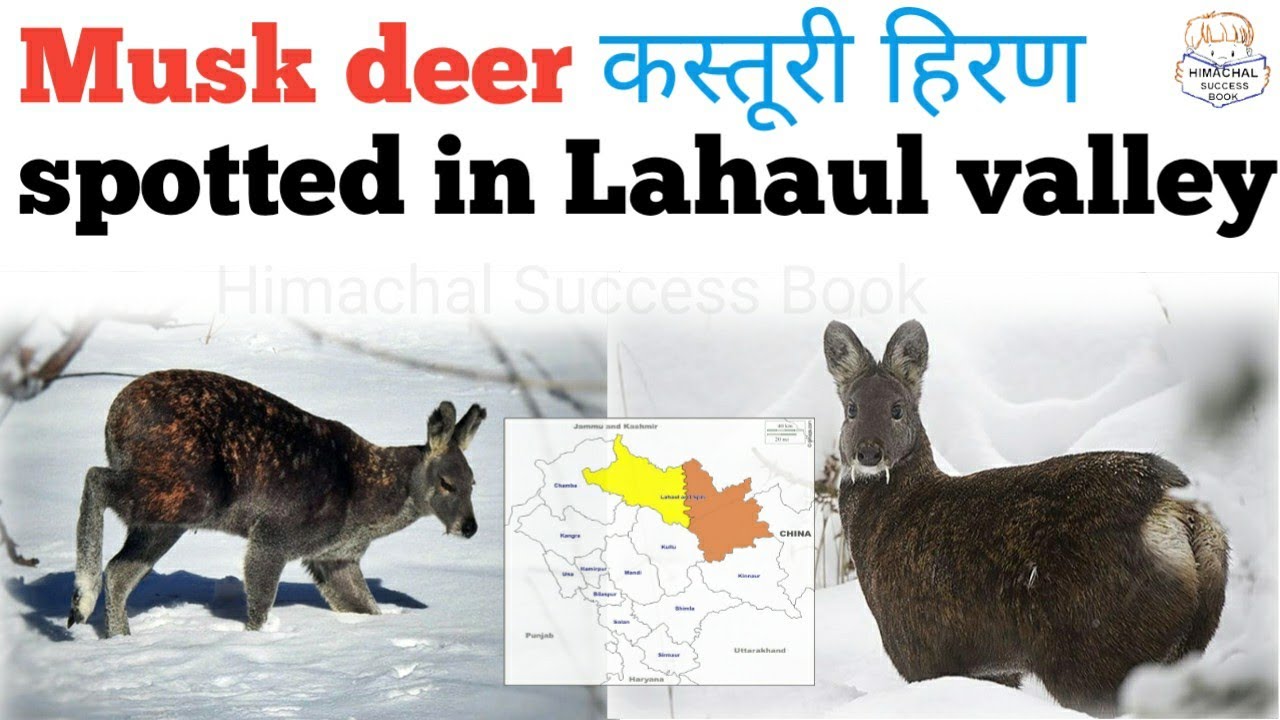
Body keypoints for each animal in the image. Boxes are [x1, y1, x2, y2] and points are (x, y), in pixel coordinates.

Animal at [67, 369, 484, 638]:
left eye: (474, 482)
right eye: (446, 483)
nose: (470, 527)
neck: (366, 502)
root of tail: (116, 414)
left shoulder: (335, 557)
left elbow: (366, 606)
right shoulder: (276, 533)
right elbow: (260, 601)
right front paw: (256, 639)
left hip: (167, 518)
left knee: (119, 570)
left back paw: (118, 635)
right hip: (189, 489)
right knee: (95, 478)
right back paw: (80, 602)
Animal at [823, 320, 1229, 717]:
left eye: (898, 408)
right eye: (851, 409)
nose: (869, 453)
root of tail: (1182, 511)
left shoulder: (920, 647)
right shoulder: (994, 668)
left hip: (1095, 649)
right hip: (1184, 644)